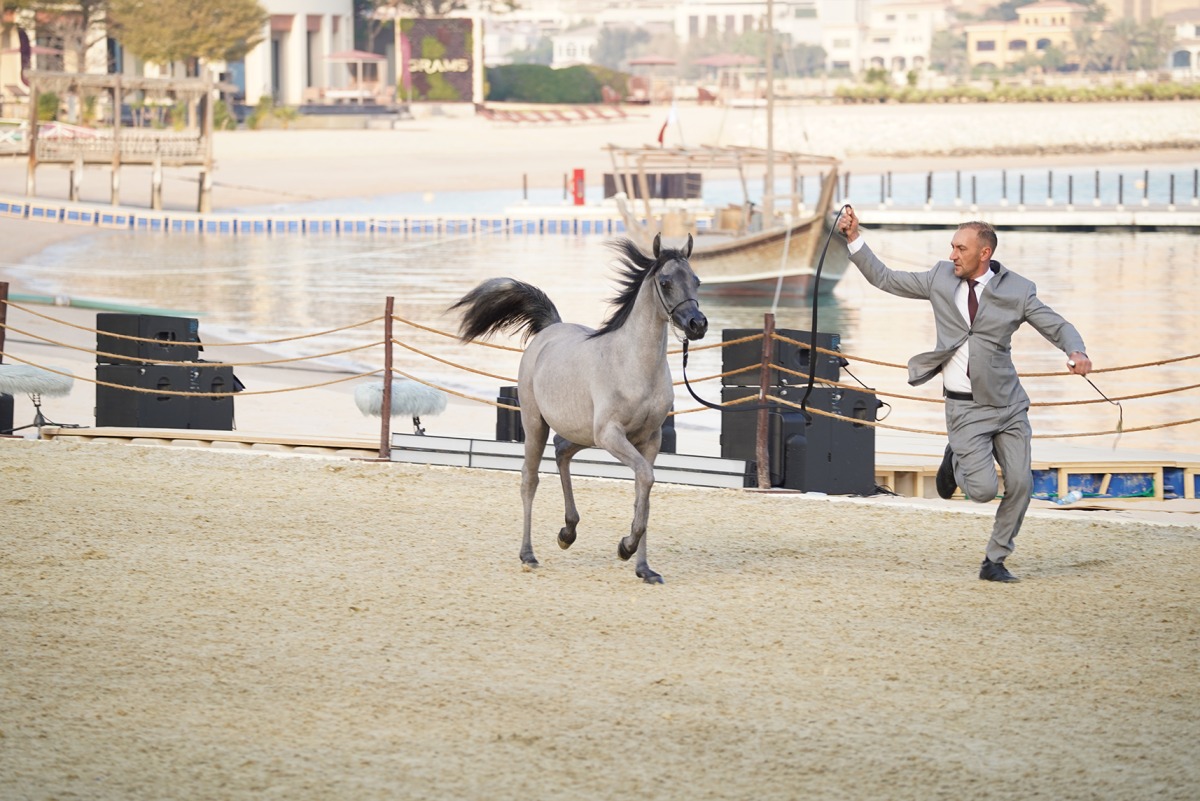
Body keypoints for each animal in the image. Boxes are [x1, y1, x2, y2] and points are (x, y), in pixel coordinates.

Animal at [451, 233, 708, 583]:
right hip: (537, 424)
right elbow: (645, 477)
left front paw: (643, 567)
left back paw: (567, 532)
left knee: (562, 450)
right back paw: (528, 555)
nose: (698, 324)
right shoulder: (611, 435)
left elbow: (644, 488)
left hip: (582, 433)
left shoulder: (649, 439)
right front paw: (626, 547)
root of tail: (550, 329)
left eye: (696, 281)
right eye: (666, 282)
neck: (633, 365)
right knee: (530, 479)